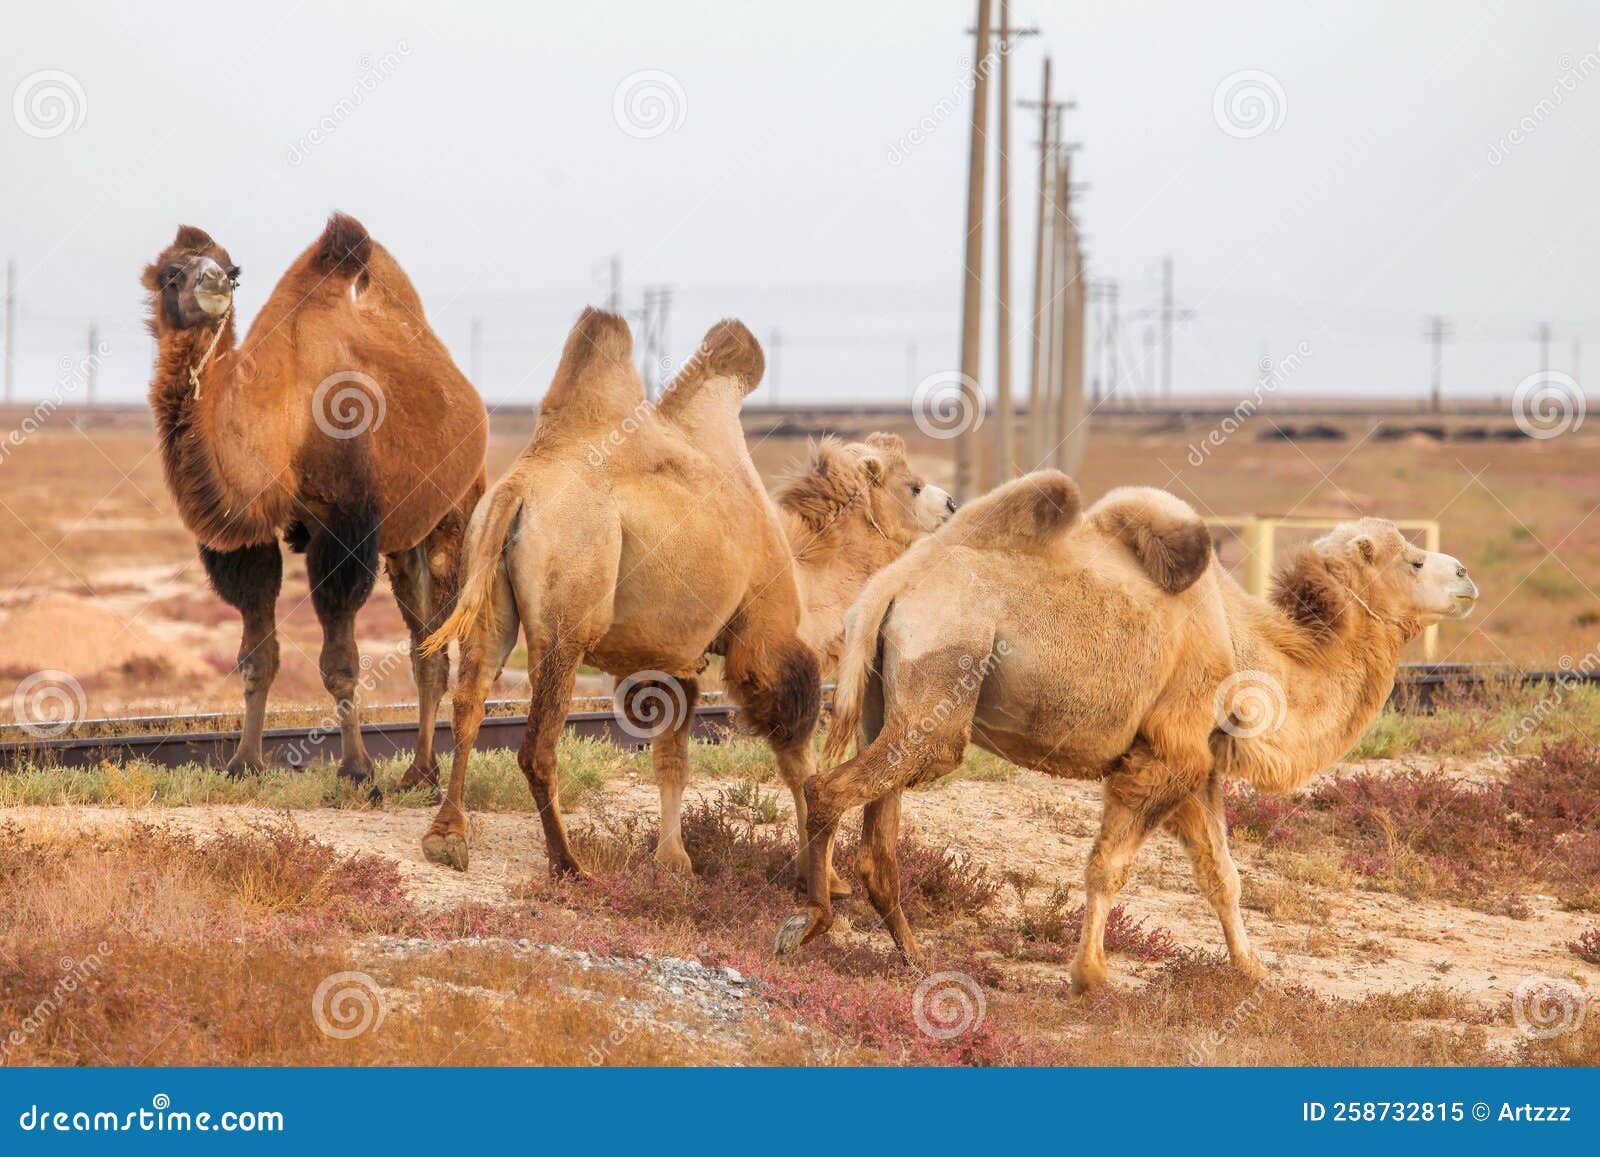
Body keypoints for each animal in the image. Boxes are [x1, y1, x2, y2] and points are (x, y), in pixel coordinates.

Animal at [143, 214, 486, 785]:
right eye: (173, 272)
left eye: (232, 271)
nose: (214, 283)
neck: (285, 424)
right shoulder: (250, 539)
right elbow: (257, 658)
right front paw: (245, 763)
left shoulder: (344, 526)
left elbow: (341, 664)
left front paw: (357, 771)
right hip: (404, 541)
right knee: (425, 649)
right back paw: (421, 771)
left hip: (455, 511)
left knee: (442, 638)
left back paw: (425, 772)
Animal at [417, 308, 952, 881]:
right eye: (913, 486)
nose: (951, 504)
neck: (800, 568)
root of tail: (520, 488)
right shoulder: (768, 641)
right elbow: (797, 760)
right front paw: (827, 876)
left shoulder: (669, 658)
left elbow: (671, 758)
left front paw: (674, 861)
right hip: (570, 607)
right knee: (537, 746)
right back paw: (569, 863)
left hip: (486, 587)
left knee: (469, 704)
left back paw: (447, 837)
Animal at [775, 472, 1479, 992]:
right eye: (1416, 561)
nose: (1466, 575)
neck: (1244, 649)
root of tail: (890, 586)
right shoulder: (1162, 756)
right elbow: (1108, 866)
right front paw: (1092, 975)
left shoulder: (1199, 767)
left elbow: (1223, 876)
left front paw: (1254, 971)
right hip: (944, 678)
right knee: (831, 789)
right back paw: (810, 922)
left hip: (895, 700)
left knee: (880, 833)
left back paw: (916, 956)